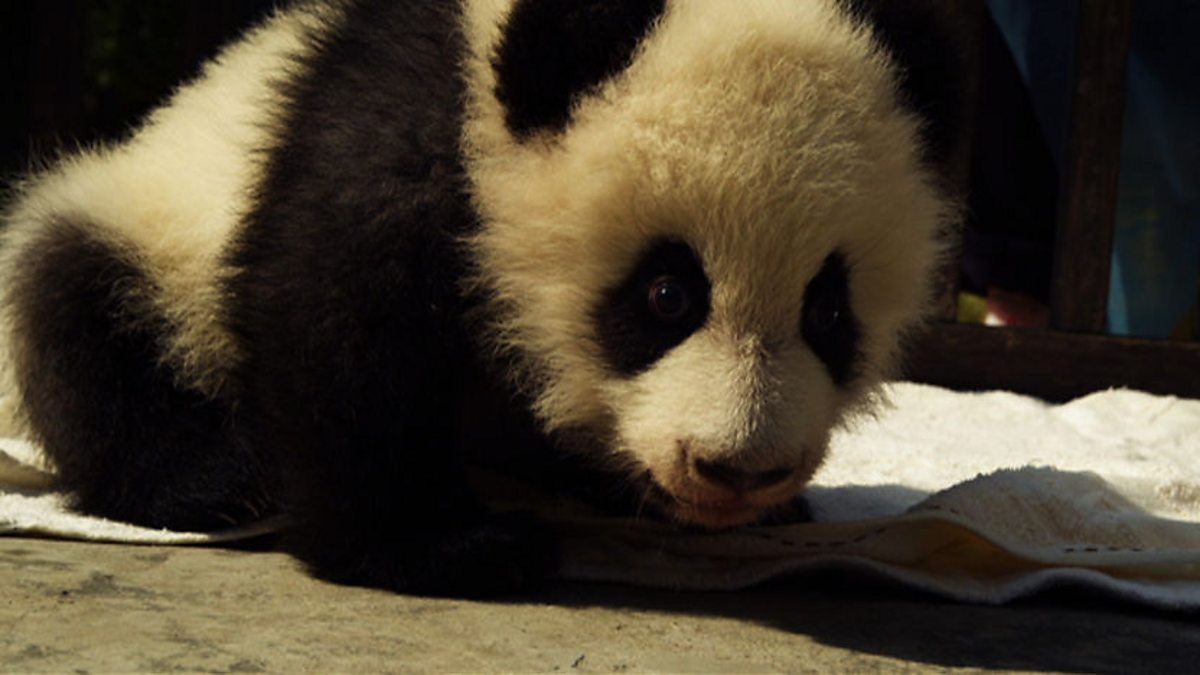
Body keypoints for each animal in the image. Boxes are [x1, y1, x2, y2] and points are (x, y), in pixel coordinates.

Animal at [1, 0, 959, 596]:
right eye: (666, 294)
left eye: (827, 311)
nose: (738, 470)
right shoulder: (414, 126)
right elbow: (337, 322)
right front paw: (445, 548)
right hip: (148, 222)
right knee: (80, 311)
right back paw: (212, 479)